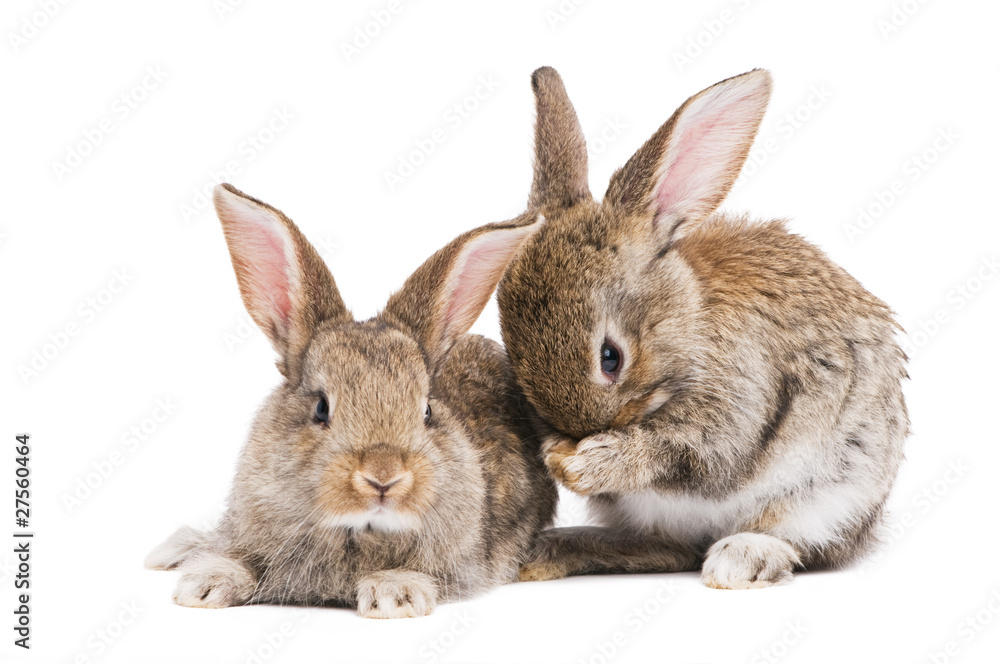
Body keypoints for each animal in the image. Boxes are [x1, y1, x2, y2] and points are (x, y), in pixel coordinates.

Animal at [495, 67, 909, 589]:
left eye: (611, 358)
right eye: (515, 359)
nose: (582, 431)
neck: (686, 324)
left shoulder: (736, 407)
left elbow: (688, 454)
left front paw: (590, 461)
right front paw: (557, 454)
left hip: (834, 494)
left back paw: (742, 559)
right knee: (670, 550)